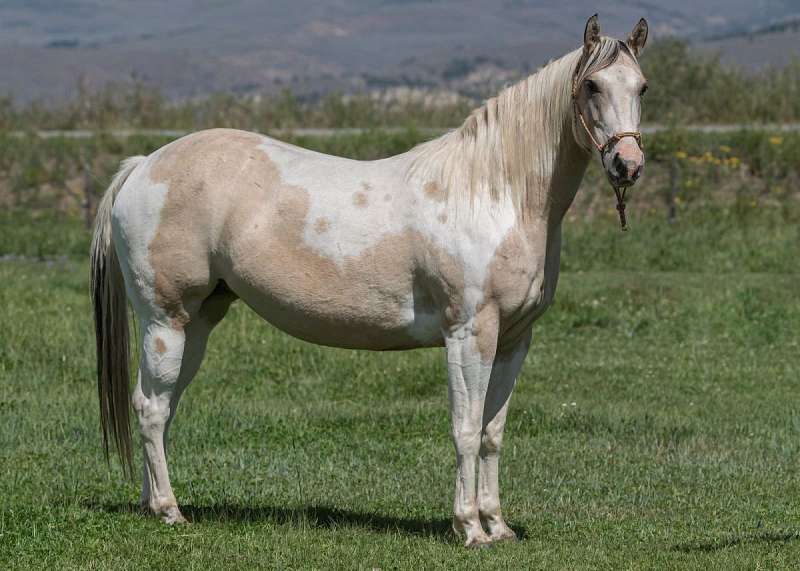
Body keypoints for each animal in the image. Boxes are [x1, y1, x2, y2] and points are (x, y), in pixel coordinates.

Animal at [90, 15, 649, 547]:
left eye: (641, 87)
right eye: (592, 85)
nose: (628, 164)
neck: (493, 193)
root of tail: (143, 165)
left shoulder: (513, 339)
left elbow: (492, 433)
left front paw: (498, 526)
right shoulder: (468, 334)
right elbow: (466, 430)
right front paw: (469, 528)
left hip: (200, 321)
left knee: (160, 405)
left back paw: (152, 504)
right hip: (165, 320)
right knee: (151, 408)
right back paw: (169, 510)